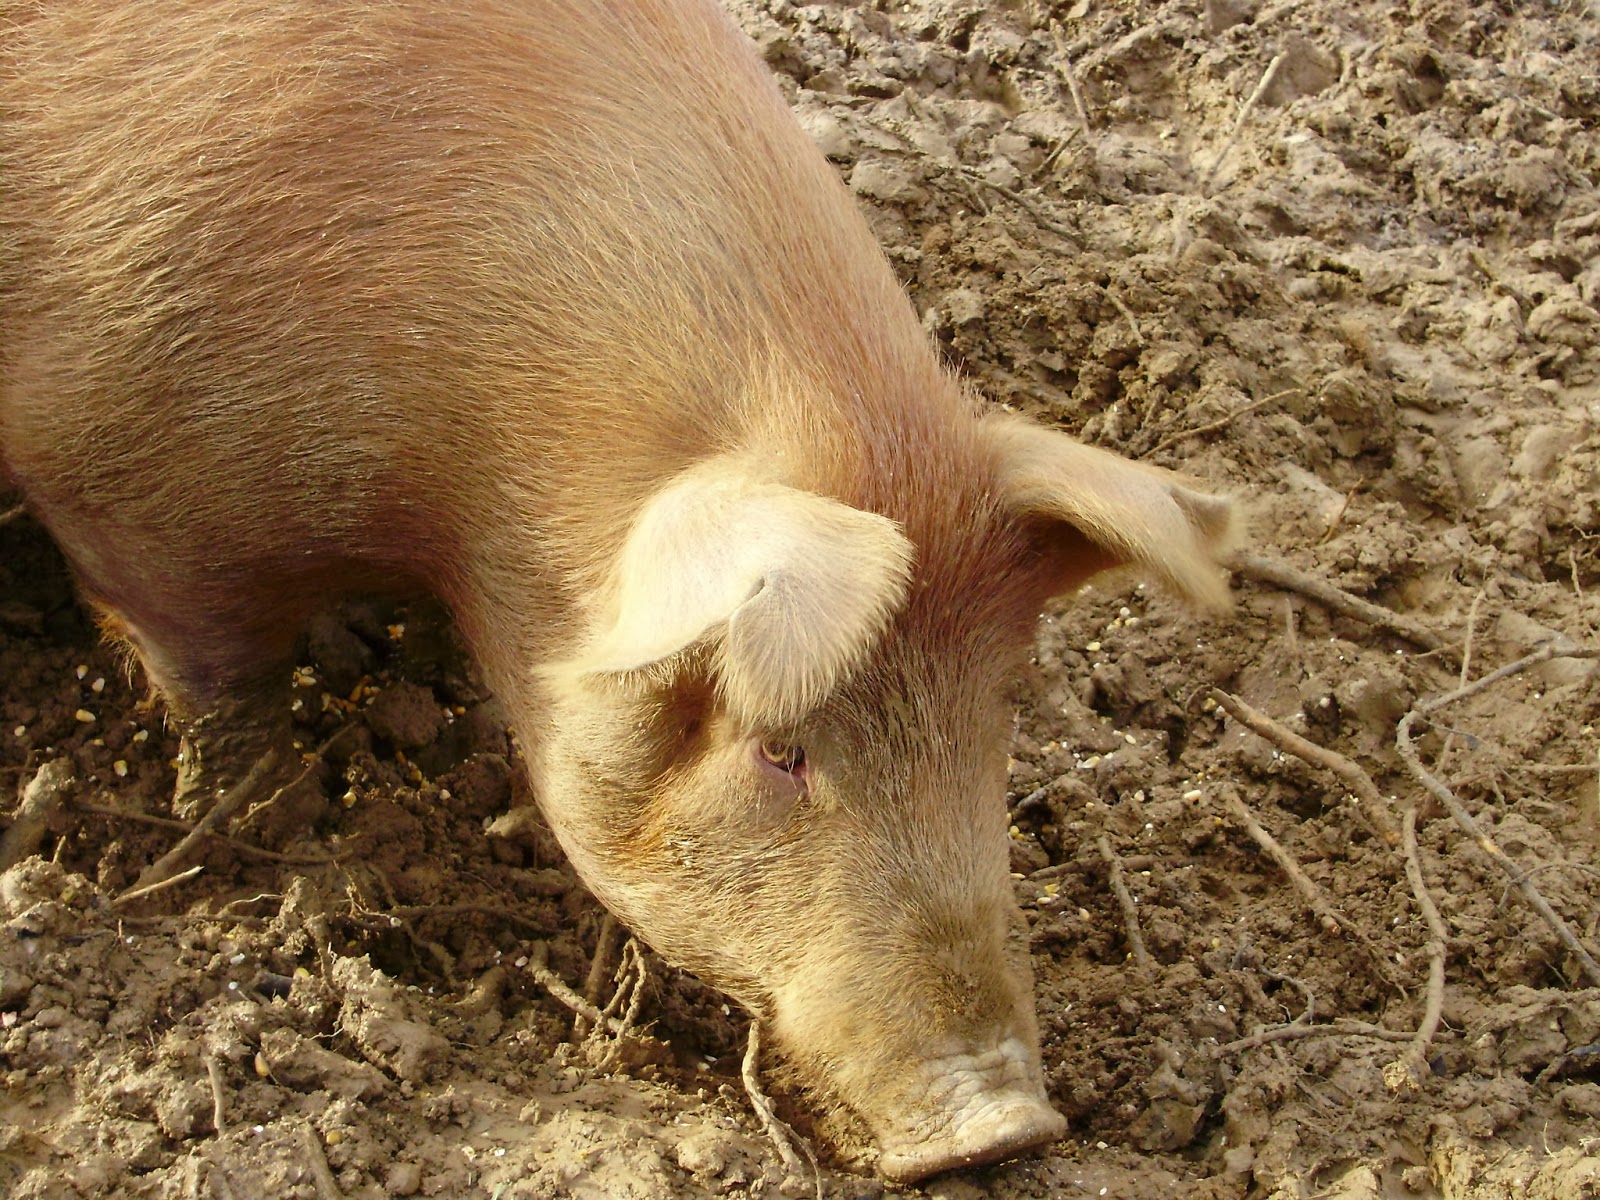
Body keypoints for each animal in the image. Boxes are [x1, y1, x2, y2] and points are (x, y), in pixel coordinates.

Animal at [0, 0, 1234, 1182]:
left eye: (997, 721)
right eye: (779, 749)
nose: (1009, 1125)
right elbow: (218, 684)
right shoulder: (135, 490)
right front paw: (254, 824)